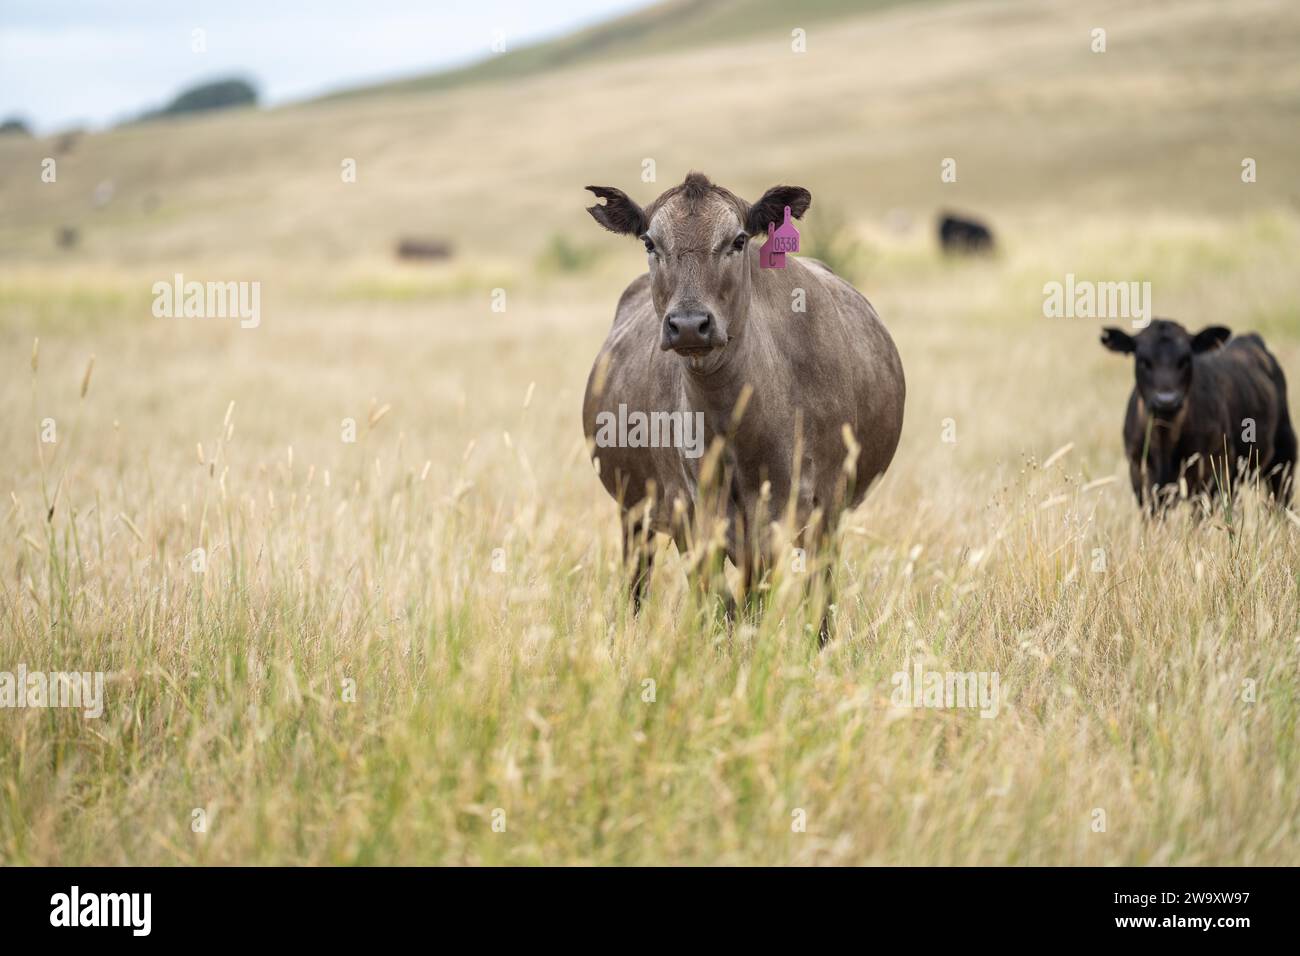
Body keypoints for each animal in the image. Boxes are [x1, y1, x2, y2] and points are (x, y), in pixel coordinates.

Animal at [581, 172, 905, 641]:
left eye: (737, 240)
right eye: (649, 242)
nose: (689, 325)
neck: (733, 426)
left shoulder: (815, 505)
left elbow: (780, 600)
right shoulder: (690, 507)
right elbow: (721, 602)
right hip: (632, 509)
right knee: (638, 583)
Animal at [1100, 319, 1295, 512]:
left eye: (1185, 359)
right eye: (1143, 361)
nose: (1166, 400)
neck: (1165, 441)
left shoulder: (1211, 472)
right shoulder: (1140, 474)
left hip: (1284, 455)